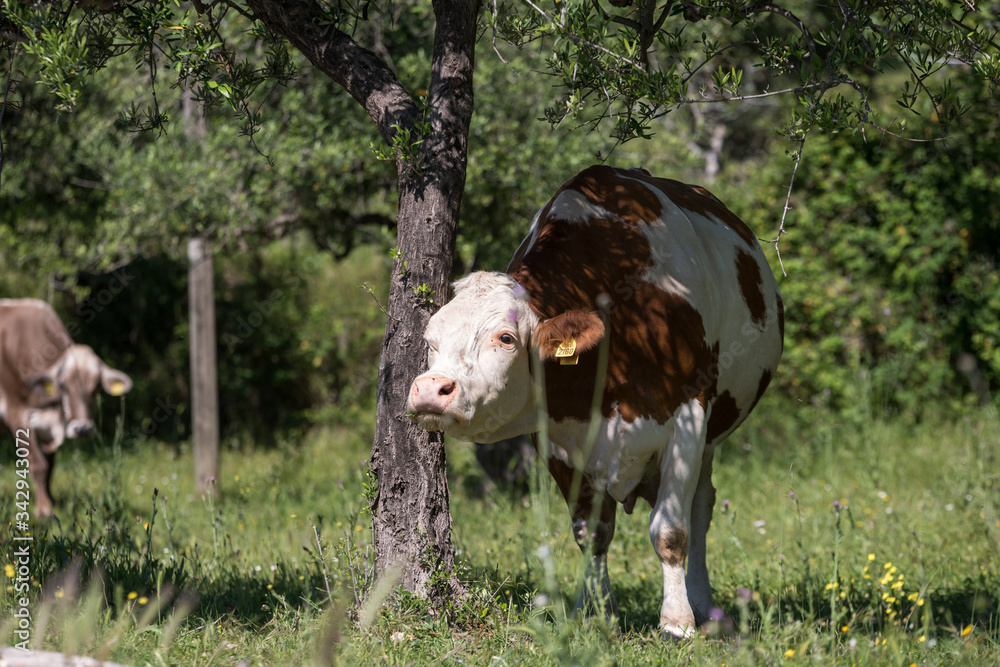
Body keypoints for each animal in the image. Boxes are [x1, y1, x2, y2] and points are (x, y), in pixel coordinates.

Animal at [0, 298, 133, 517]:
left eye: (96, 386)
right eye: (63, 385)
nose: (83, 428)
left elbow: (50, 465)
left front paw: (51, 502)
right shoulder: (17, 413)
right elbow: (38, 464)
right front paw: (43, 510)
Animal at [406, 165, 783, 638]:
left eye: (506, 337)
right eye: (429, 340)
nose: (430, 388)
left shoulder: (689, 417)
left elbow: (671, 532)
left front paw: (677, 622)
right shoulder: (558, 442)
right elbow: (592, 532)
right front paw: (594, 613)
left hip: (713, 431)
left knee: (700, 509)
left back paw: (704, 604)